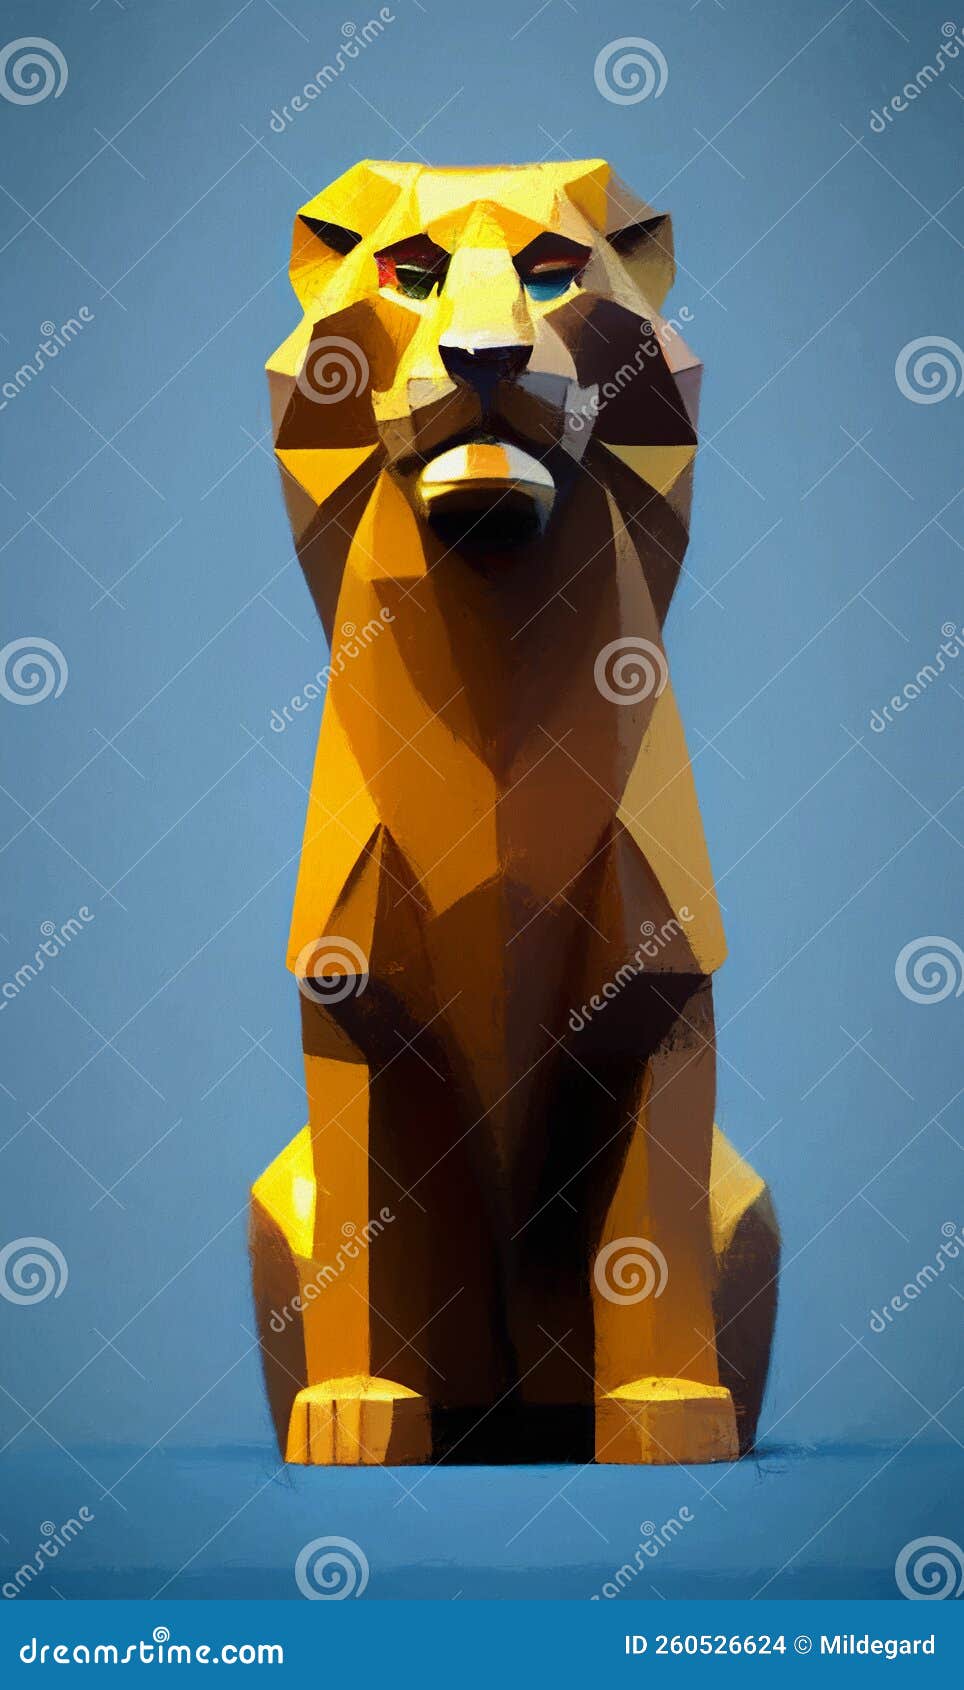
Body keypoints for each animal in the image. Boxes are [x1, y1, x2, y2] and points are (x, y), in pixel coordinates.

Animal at [251, 160, 779, 1466]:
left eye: (549, 273)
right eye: (413, 272)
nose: (485, 355)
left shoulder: (658, 994)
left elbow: (651, 1241)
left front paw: (668, 1412)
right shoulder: (355, 1006)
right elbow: (364, 1236)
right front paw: (354, 1409)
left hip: (752, 1198)